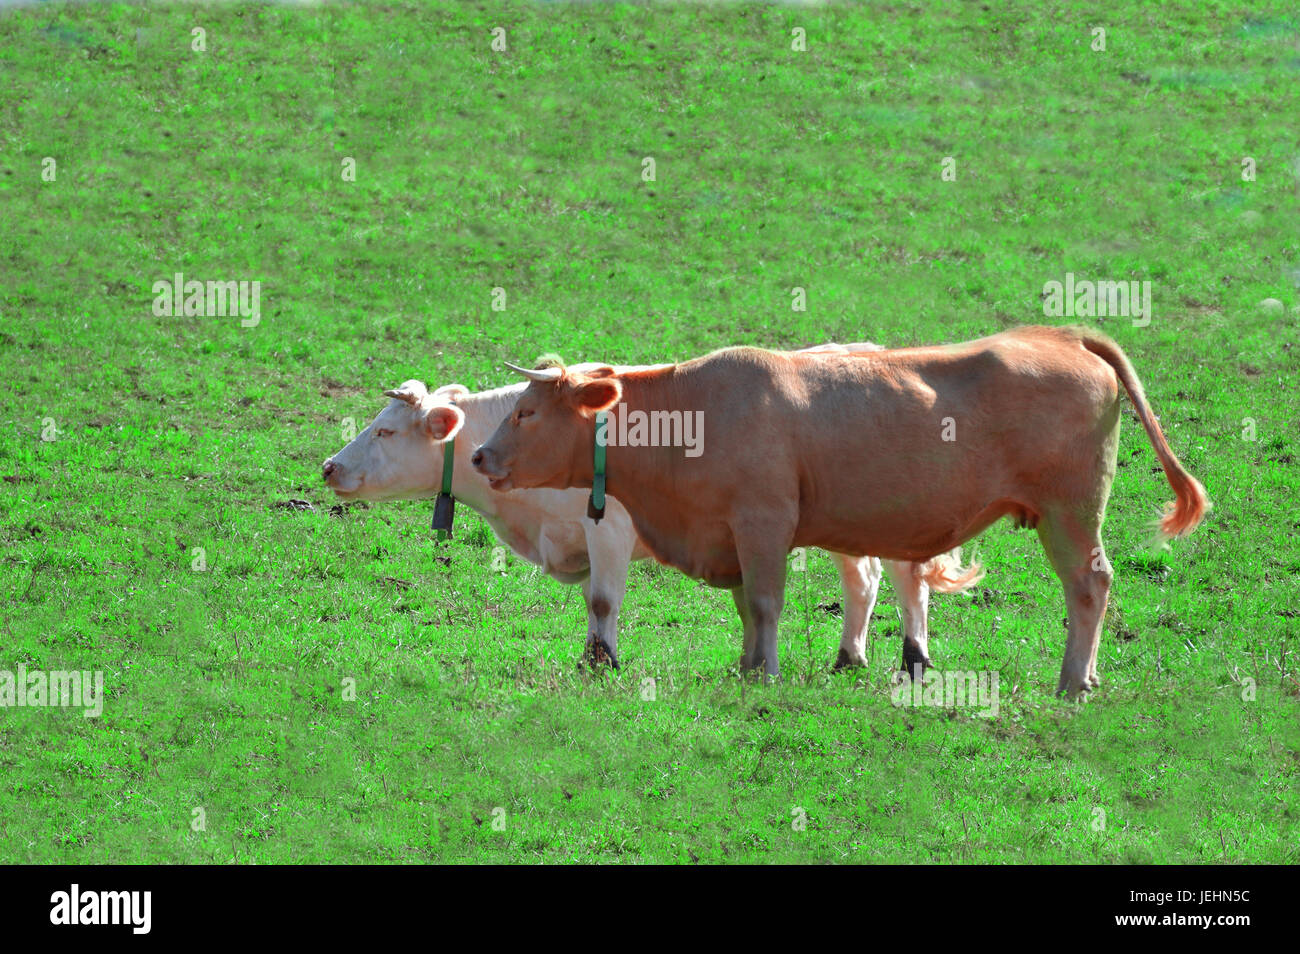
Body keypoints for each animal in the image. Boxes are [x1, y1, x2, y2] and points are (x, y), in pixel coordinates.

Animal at [322, 370, 982, 673]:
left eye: (384, 431)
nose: (329, 467)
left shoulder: (608, 529)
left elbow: (604, 599)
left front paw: (604, 663)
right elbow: (593, 599)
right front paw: (591, 655)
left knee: (905, 580)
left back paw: (914, 658)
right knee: (863, 580)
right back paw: (850, 657)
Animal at [471, 325, 1210, 697]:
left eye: (527, 412)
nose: (478, 455)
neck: (692, 413)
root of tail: (1061, 337)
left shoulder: (763, 523)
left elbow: (765, 602)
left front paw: (765, 675)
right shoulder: (733, 535)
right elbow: (747, 609)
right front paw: (748, 666)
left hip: (1070, 513)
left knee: (1090, 585)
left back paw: (1072, 680)